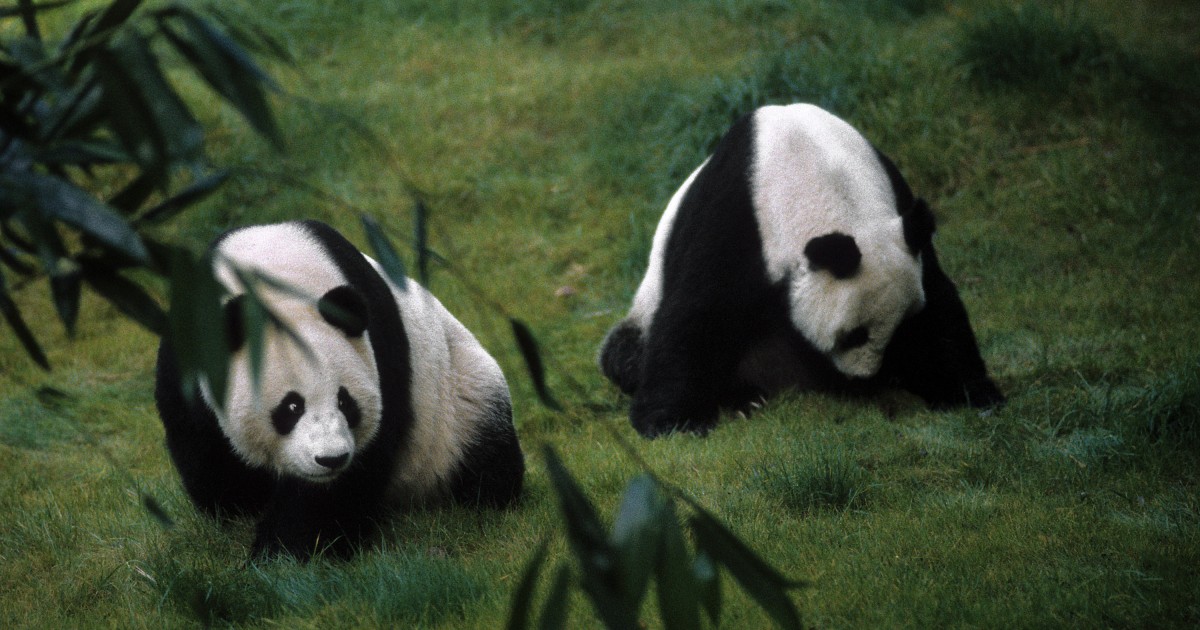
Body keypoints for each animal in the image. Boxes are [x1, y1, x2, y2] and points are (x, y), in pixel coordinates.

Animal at [154, 220, 524, 558]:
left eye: (347, 402)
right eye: (291, 407)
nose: (331, 459)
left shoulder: (380, 346)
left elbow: (350, 473)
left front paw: (289, 553)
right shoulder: (187, 343)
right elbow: (200, 440)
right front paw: (236, 512)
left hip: (459, 397)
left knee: (485, 454)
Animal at [600, 103, 1004, 438]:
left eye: (902, 326)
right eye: (853, 335)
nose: (865, 378)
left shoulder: (899, 206)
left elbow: (938, 300)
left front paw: (973, 392)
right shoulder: (735, 214)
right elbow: (697, 310)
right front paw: (672, 421)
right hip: (643, 310)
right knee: (624, 355)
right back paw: (745, 398)